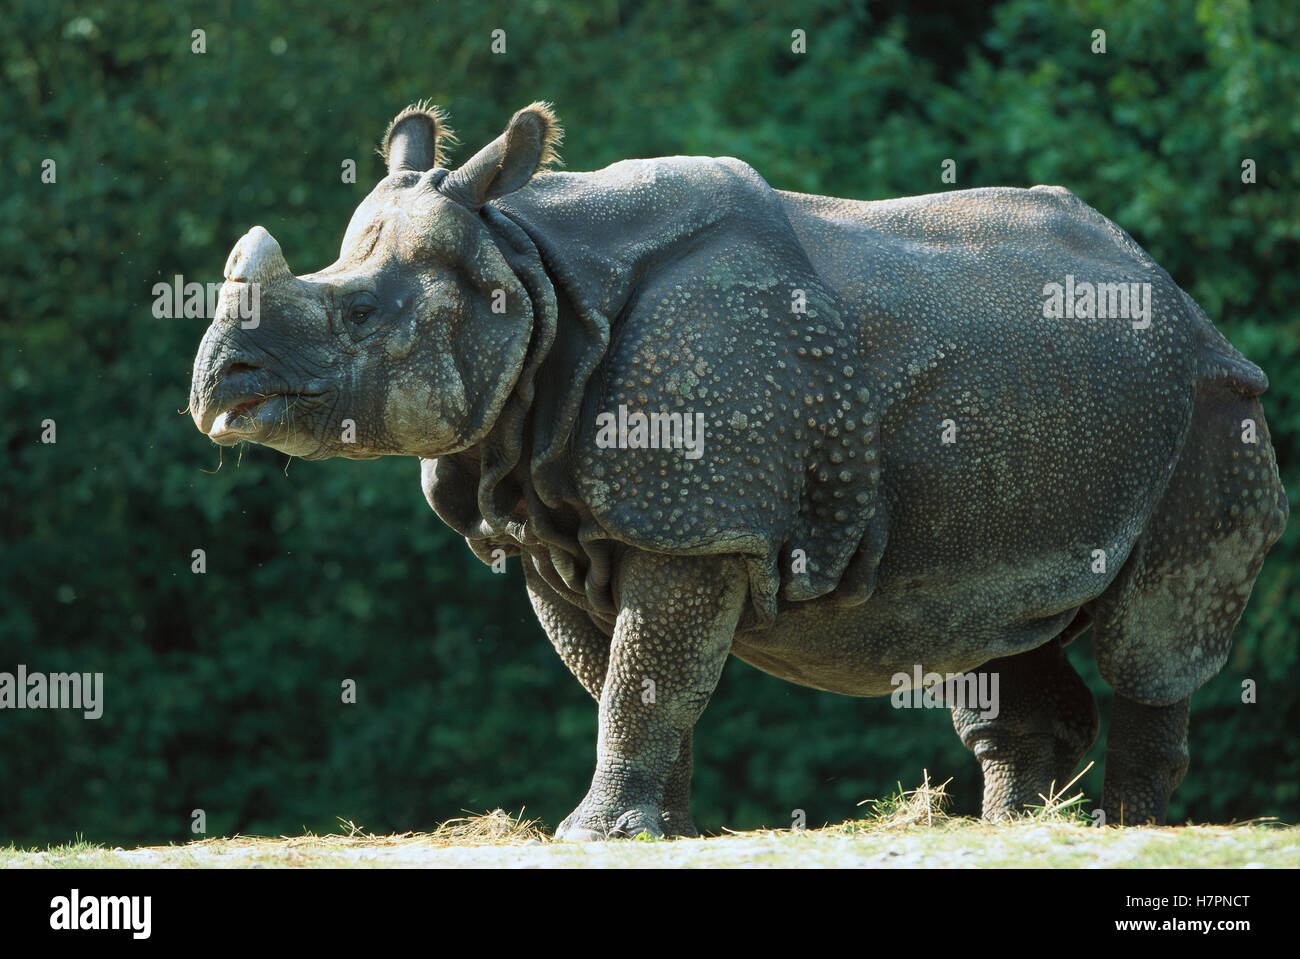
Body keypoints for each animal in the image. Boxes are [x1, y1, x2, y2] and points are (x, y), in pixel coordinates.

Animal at [189, 102, 1287, 837]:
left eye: (358, 313)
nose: (215, 383)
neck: (530, 272)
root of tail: (1174, 291)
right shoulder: (548, 522)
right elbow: (629, 677)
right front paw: (655, 832)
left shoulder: (696, 519)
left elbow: (644, 678)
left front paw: (595, 833)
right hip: (1047, 400)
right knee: (995, 622)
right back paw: (1016, 831)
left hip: (1210, 408)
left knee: (1149, 633)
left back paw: (1124, 829)